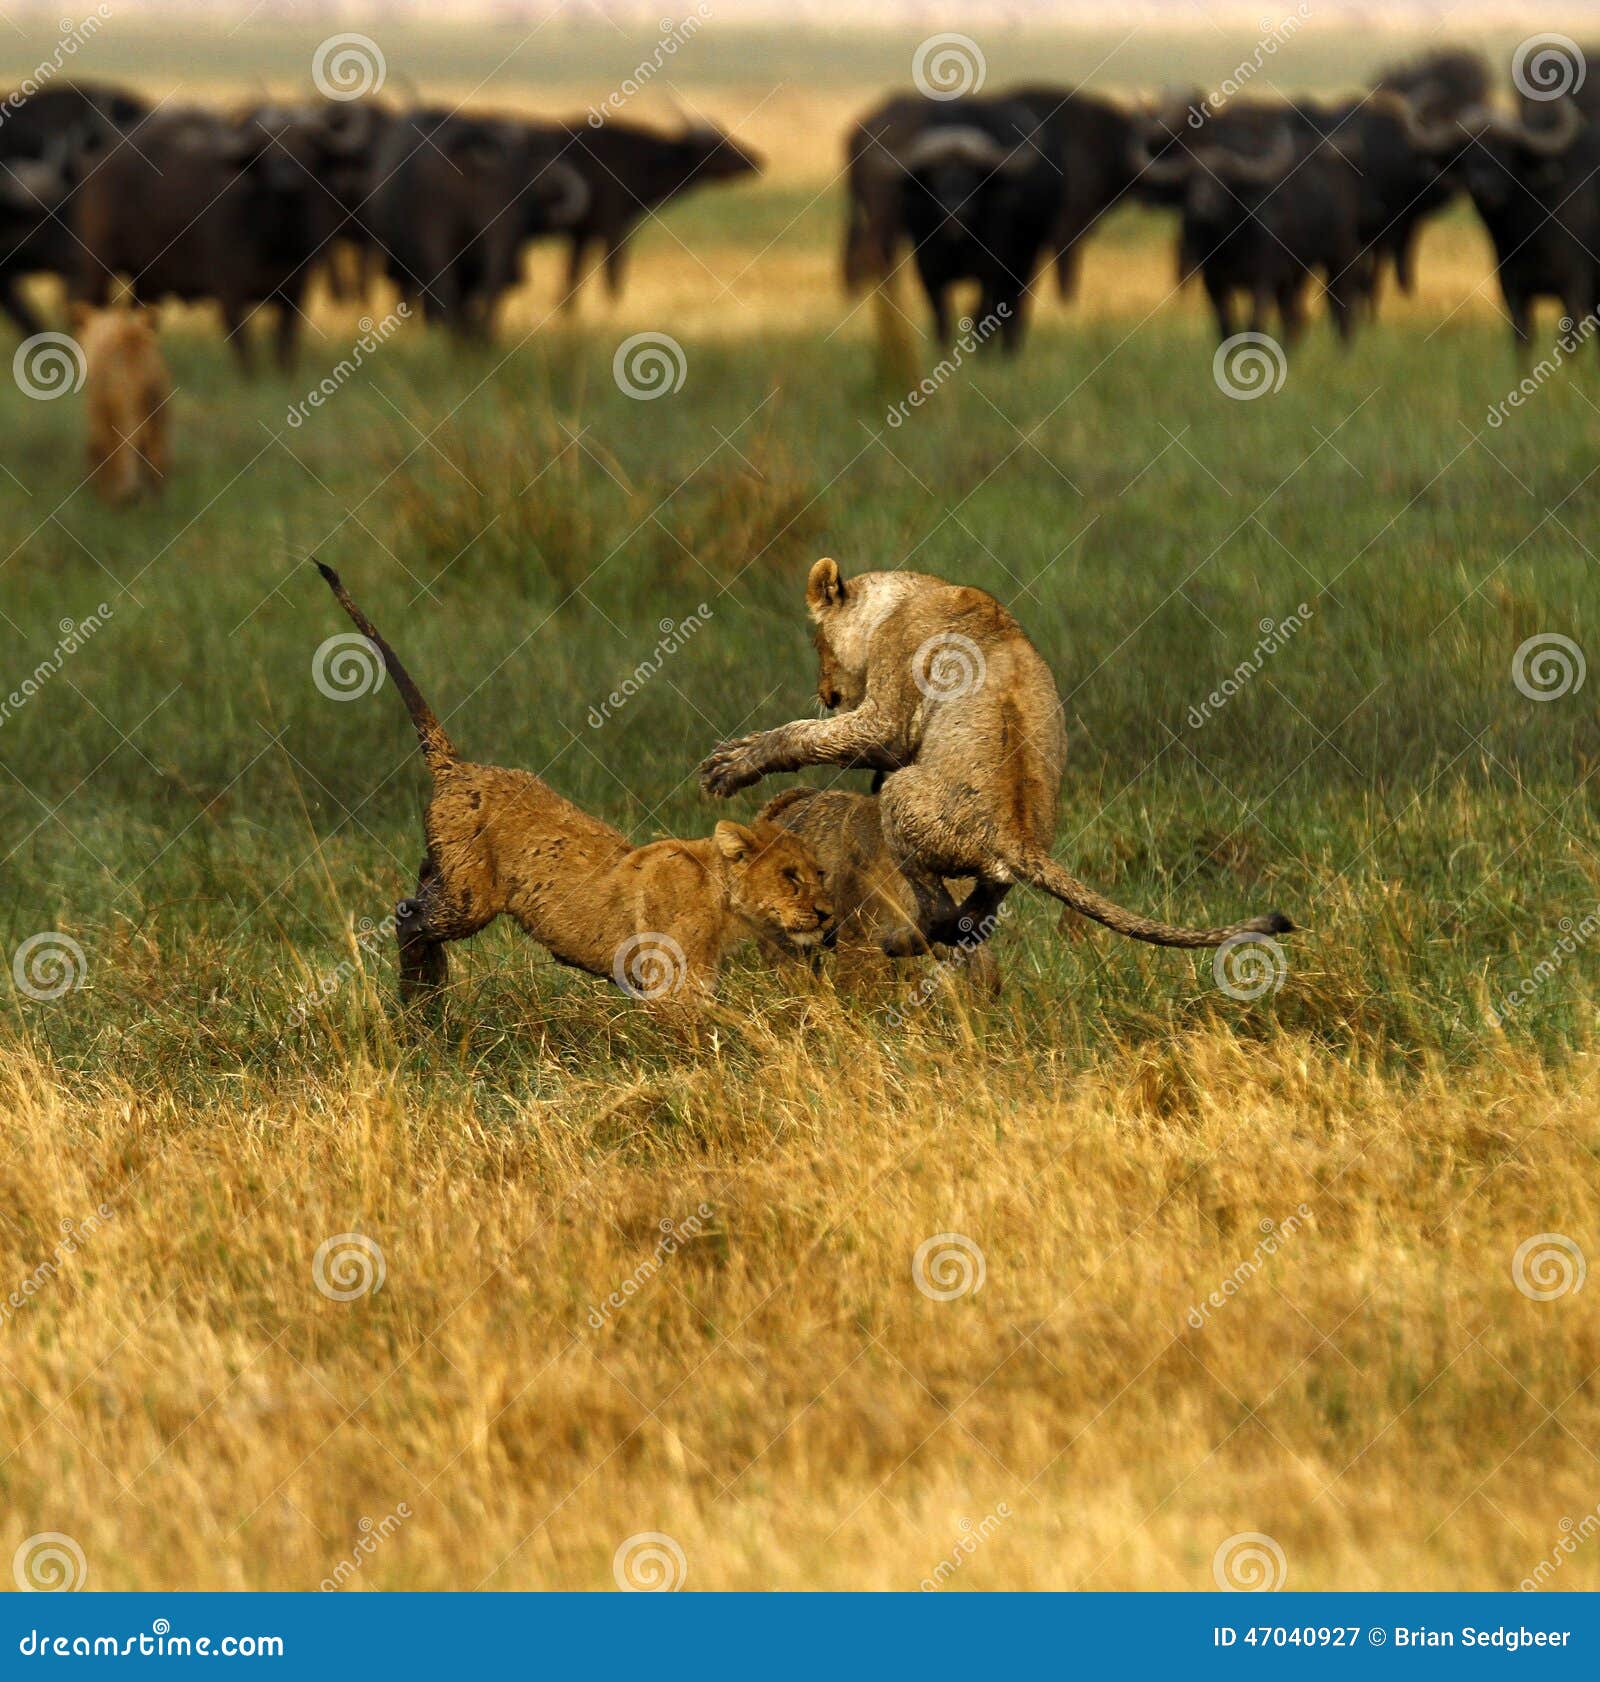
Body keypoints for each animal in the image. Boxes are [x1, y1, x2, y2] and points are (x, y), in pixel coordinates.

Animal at [315, 563, 833, 1016]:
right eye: (789, 876)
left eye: (820, 872)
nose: (828, 915)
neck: (725, 899)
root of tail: (460, 766)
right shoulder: (670, 987)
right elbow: (729, 1033)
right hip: (469, 901)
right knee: (407, 915)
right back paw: (421, 999)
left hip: (456, 883)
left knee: (421, 883)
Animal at [700, 557, 1293, 954]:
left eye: (817, 643)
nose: (826, 693)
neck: (907, 596)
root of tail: (1017, 839)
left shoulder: (886, 714)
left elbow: (806, 735)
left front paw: (732, 763)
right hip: (1006, 861)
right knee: (975, 913)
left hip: (907, 802)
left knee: (938, 910)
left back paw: (898, 940)